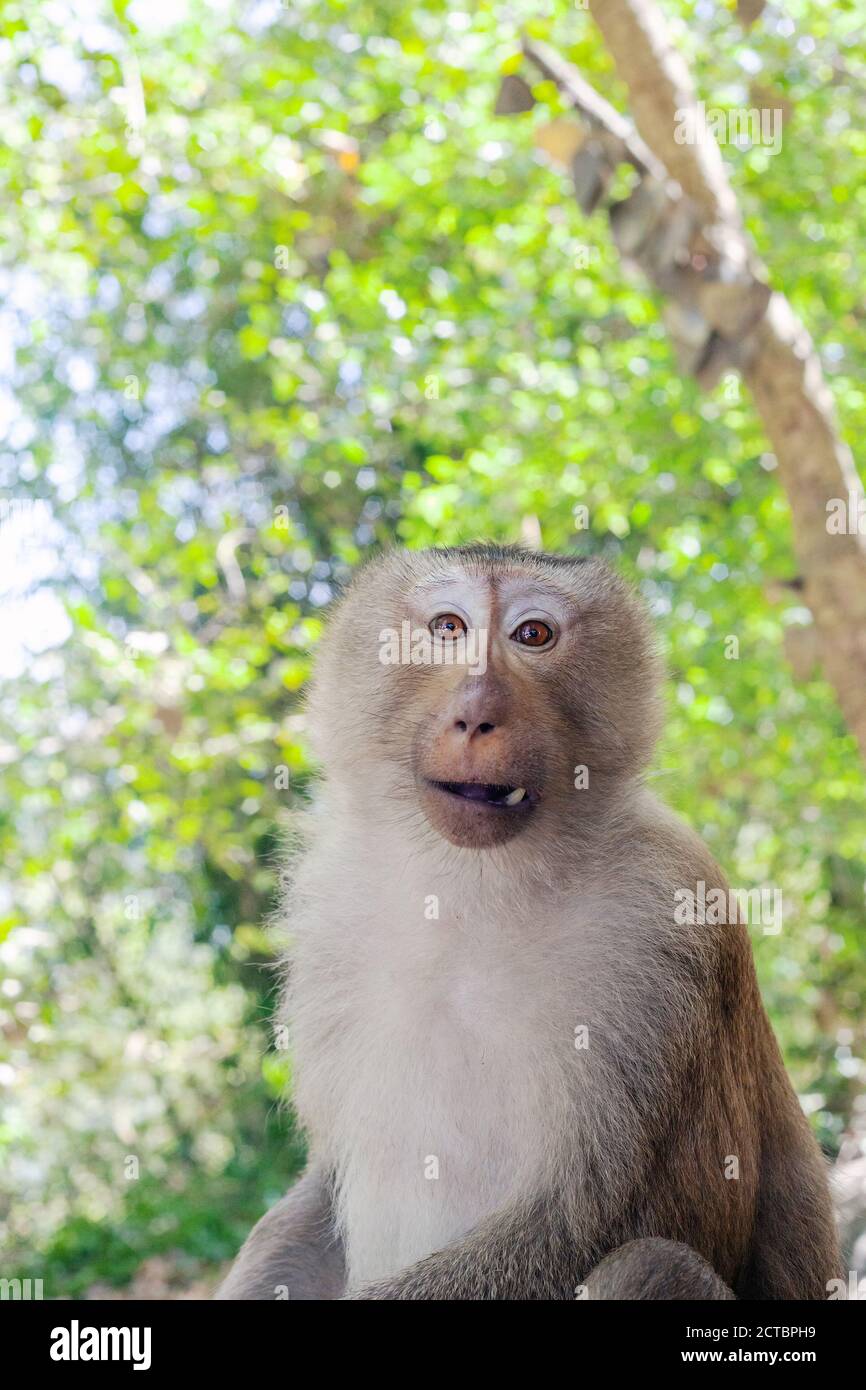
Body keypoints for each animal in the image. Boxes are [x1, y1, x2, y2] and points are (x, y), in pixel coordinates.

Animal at [216, 545, 840, 1301]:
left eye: (532, 635)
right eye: (448, 627)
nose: (476, 713)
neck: (469, 894)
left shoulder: (667, 922)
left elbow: (587, 1226)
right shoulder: (332, 907)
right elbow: (322, 1190)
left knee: (651, 1264)